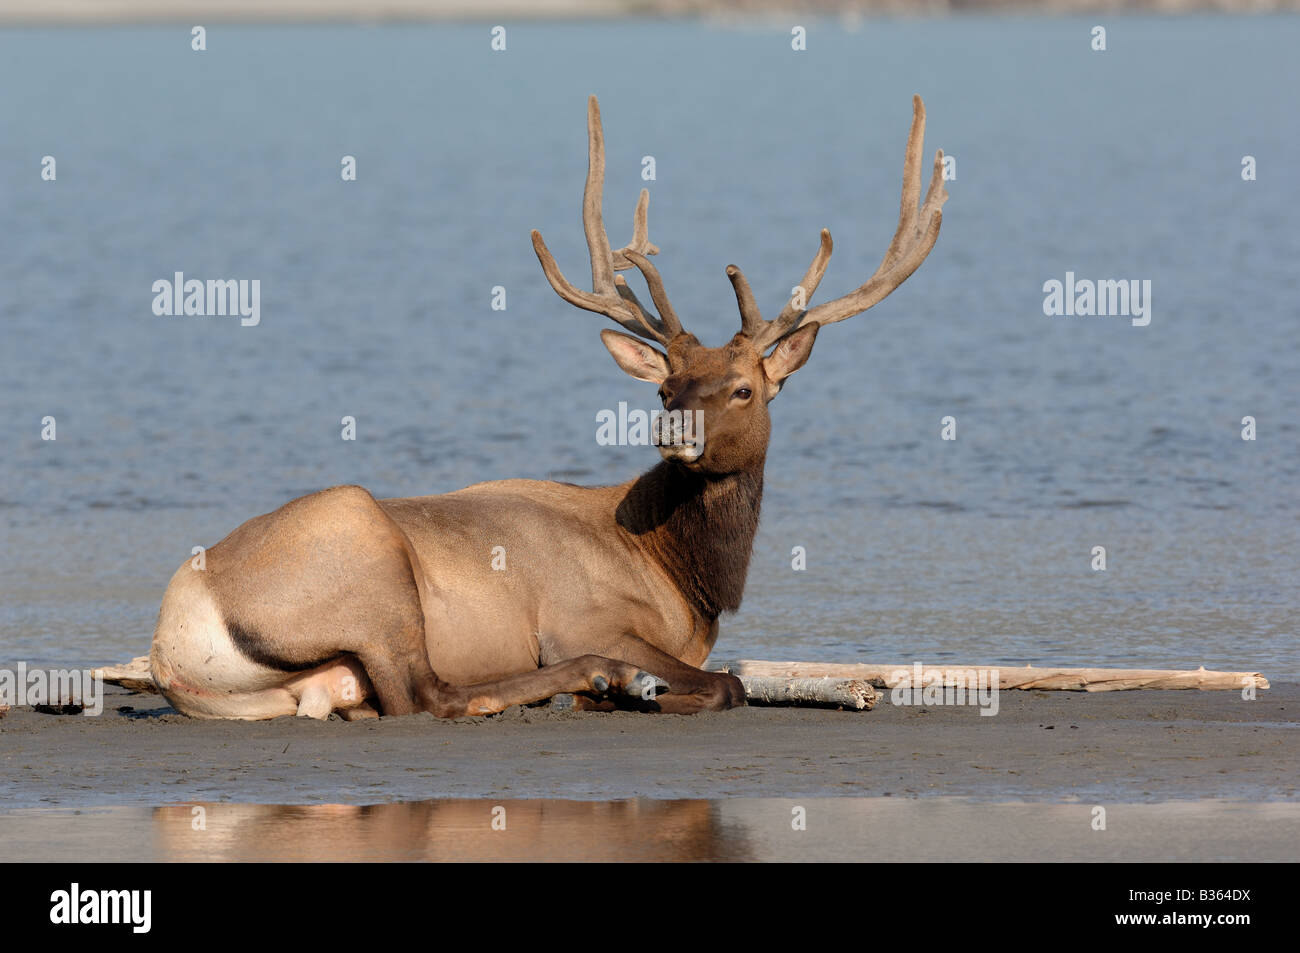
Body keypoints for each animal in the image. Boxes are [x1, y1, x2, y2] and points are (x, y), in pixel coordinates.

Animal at [148, 94, 947, 720]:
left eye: (743, 388)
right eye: (665, 387)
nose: (673, 429)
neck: (686, 581)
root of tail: (171, 639)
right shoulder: (583, 616)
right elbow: (727, 684)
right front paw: (640, 685)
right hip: (363, 553)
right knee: (425, 695)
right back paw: (603, 680)